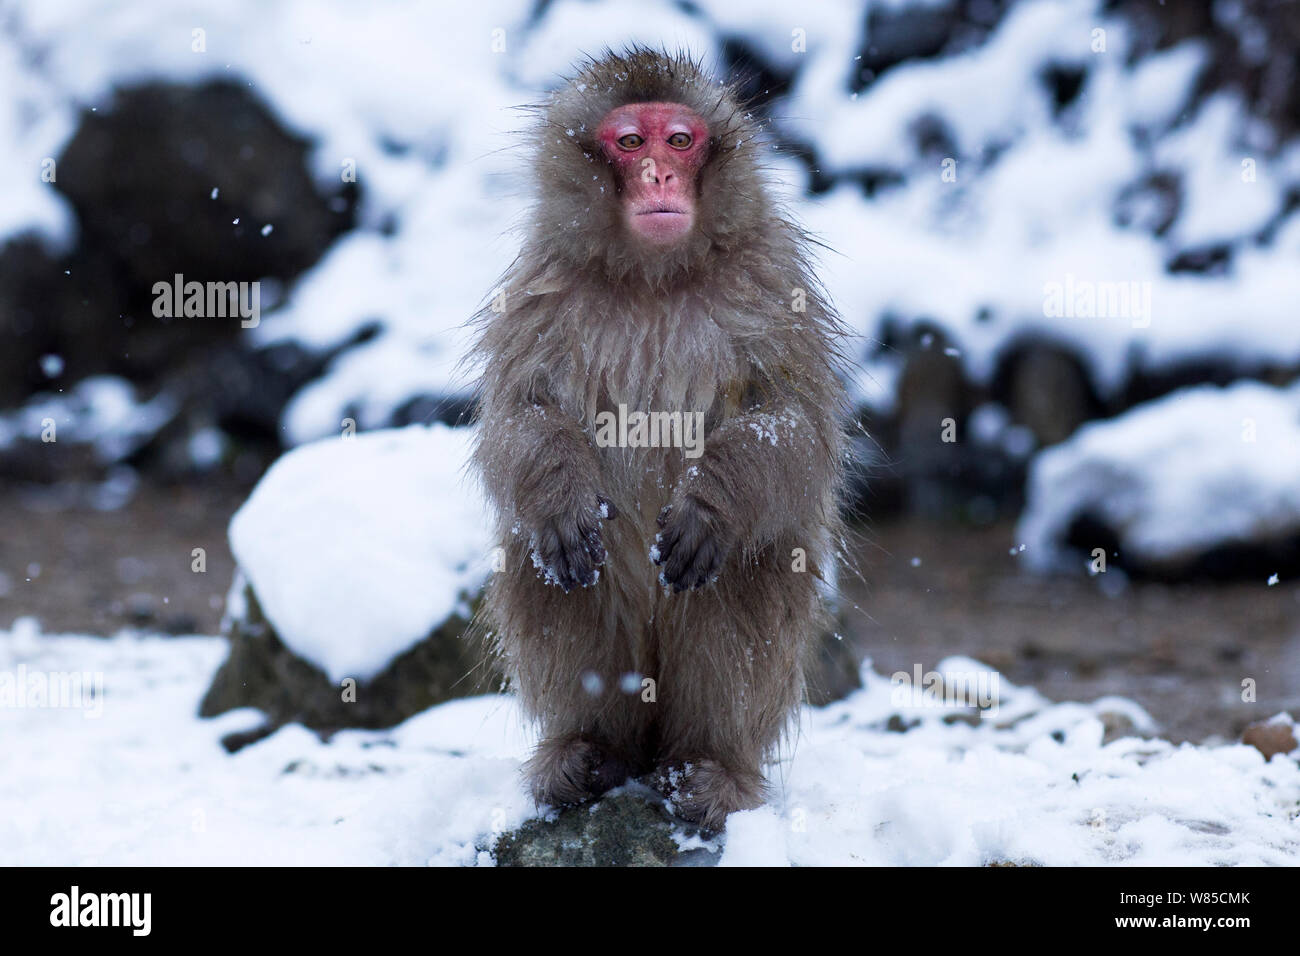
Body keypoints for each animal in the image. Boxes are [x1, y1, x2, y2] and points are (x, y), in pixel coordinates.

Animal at [470, 48, 848, 831]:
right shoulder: (539, 288)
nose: (658, 178)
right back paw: (586, 753)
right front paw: (561, 503)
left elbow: (795, 422)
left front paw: (710, 508)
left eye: (678, 141)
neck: (653, 278)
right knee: (543, 565)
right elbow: (520, 418)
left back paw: (713, 771)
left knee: (748, 568)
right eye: (628, 142)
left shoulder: (772, 281)